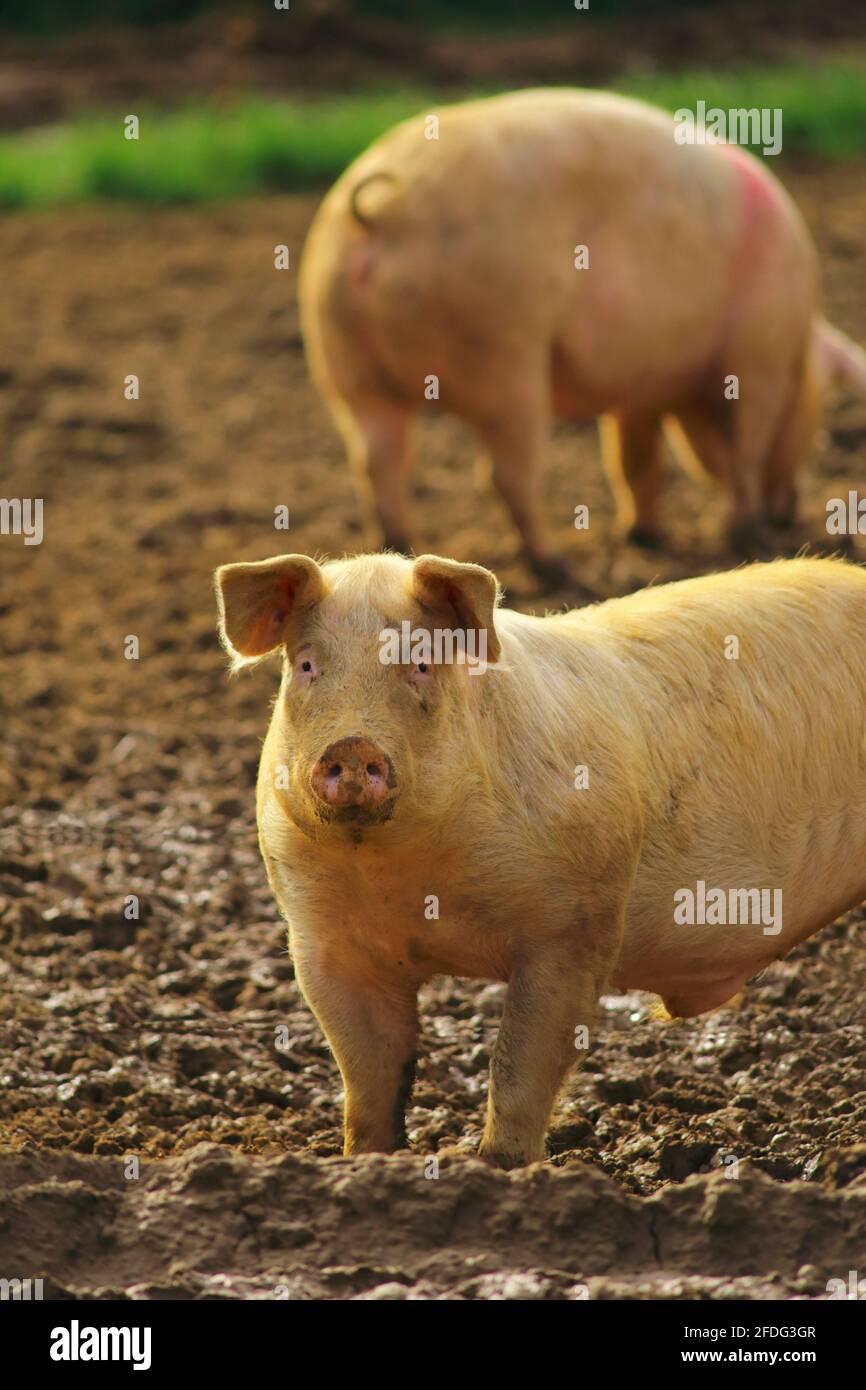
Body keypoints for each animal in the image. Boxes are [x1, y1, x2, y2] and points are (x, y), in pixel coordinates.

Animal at [216, 549, 866, 1169]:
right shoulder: (321, 941)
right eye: (306, 665)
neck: (407, 876)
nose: (352, 746)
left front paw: (499, 1166)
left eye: (421, 664)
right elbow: (371, 1073)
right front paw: (361, 1162)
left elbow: (521, 1063)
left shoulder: (575, 925)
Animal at [298, 89, 866, 585]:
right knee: (505, 474)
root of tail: (380, 207)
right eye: (819, 415)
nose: (790, 512)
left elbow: (634, 459)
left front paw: (646, 536)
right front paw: (754, 540)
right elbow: (745, 448)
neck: (798, 348)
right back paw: (559, 568)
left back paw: (399, 550)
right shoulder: (756, 357)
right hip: (504, 355)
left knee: (376, 463)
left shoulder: (642, 385)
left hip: (342, 364)